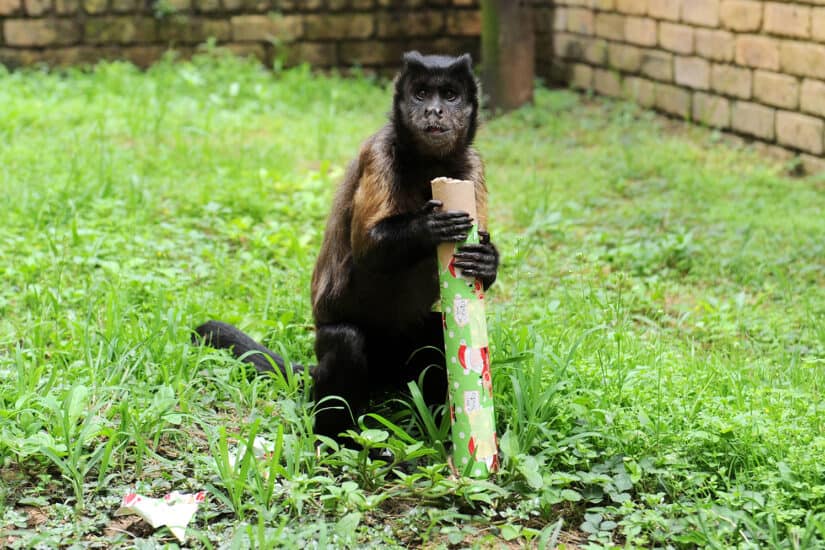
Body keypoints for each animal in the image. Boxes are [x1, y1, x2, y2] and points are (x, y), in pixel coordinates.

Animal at [195, 51, 499, 441]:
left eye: (449, 95)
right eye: (420, 94)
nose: (434, 111)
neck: (429, 165)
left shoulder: (473, 166)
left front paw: (487, 260)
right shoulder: (380, 153)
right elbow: (368, 251)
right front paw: (430, 227)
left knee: (435, 335)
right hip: (332, 349)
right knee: (345, 342)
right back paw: (338, 442)